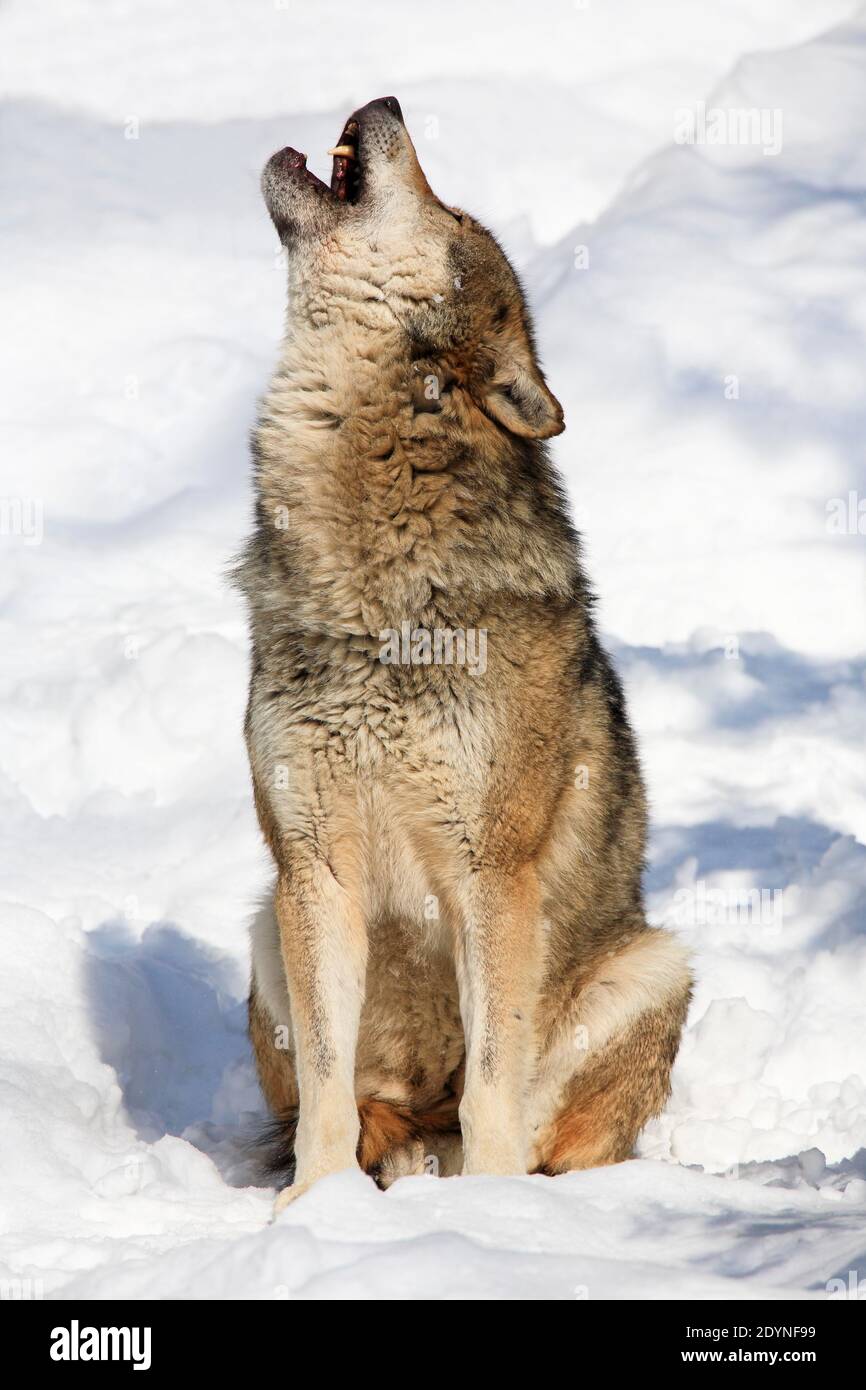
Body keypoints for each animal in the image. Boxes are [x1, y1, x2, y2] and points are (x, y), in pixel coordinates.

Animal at [237, 97, 691, 1208]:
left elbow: (494, 1082)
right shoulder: (311, 865)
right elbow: (325, 1091)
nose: (387, 102)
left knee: (536, 1128)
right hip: (264, 927)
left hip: (653, 964)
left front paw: (490, 1216)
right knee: (370, 1112)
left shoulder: (492, 873)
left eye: (454, 217)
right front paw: (310, 1211)